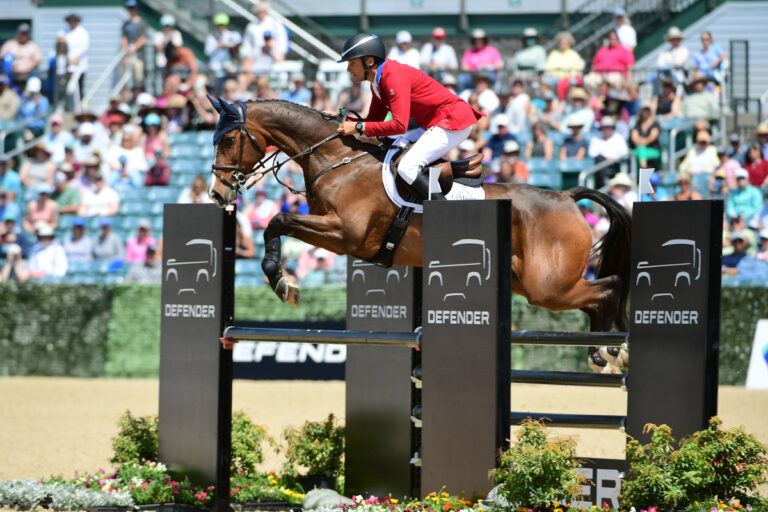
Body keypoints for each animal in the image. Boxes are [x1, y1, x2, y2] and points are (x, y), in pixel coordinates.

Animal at [206, 96, 632, 336]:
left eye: (229, 139)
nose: (216, 193)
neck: (337, 159)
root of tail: (567, 196)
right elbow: (279, 224)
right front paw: (282, 280)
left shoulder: (346, 235)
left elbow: (278, 221)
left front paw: (283, 284)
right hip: (528, 283)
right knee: (598, 295)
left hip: (548, 286)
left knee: (608, 287)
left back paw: (611, 352)